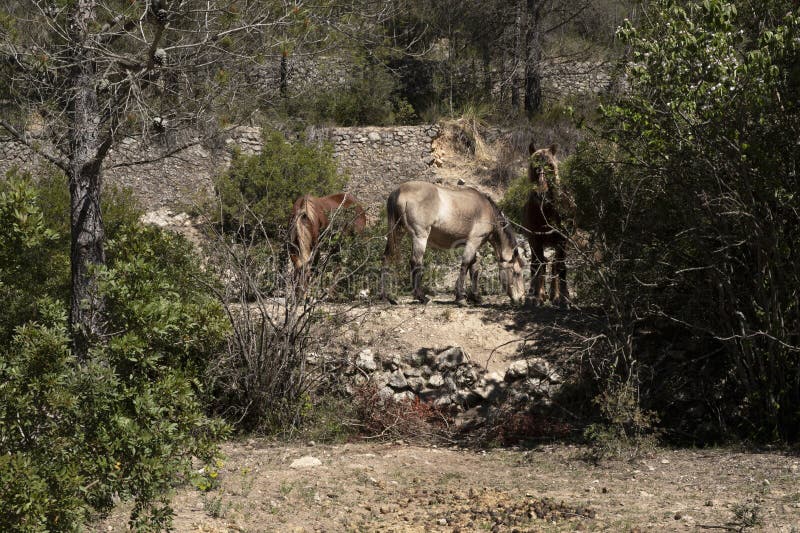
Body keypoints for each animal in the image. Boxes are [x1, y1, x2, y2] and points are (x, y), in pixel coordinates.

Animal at [380, 181, 526, 305]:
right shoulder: (474, 241)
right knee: (415, 262)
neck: (487, 211)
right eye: (516, 273)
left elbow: (474, 269)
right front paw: (460, 297)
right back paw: (421, 297)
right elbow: (465, 265)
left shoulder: (473, 245)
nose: (521, 298)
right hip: (420, 236)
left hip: (398, 233)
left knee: (386, 258)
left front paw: (475, 297)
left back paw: (386, 297)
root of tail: (399, 190)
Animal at [522, 143, 574, 307]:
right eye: (534, 165)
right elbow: (537, 266)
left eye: (550, 165)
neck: (545, 211)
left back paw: (554, 295)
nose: (541, 193)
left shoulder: (562, 240)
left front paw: (563, 298)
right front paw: (537, 297)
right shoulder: (535, 240)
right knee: (540, 263)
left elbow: (561, 266)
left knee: (555, 264)